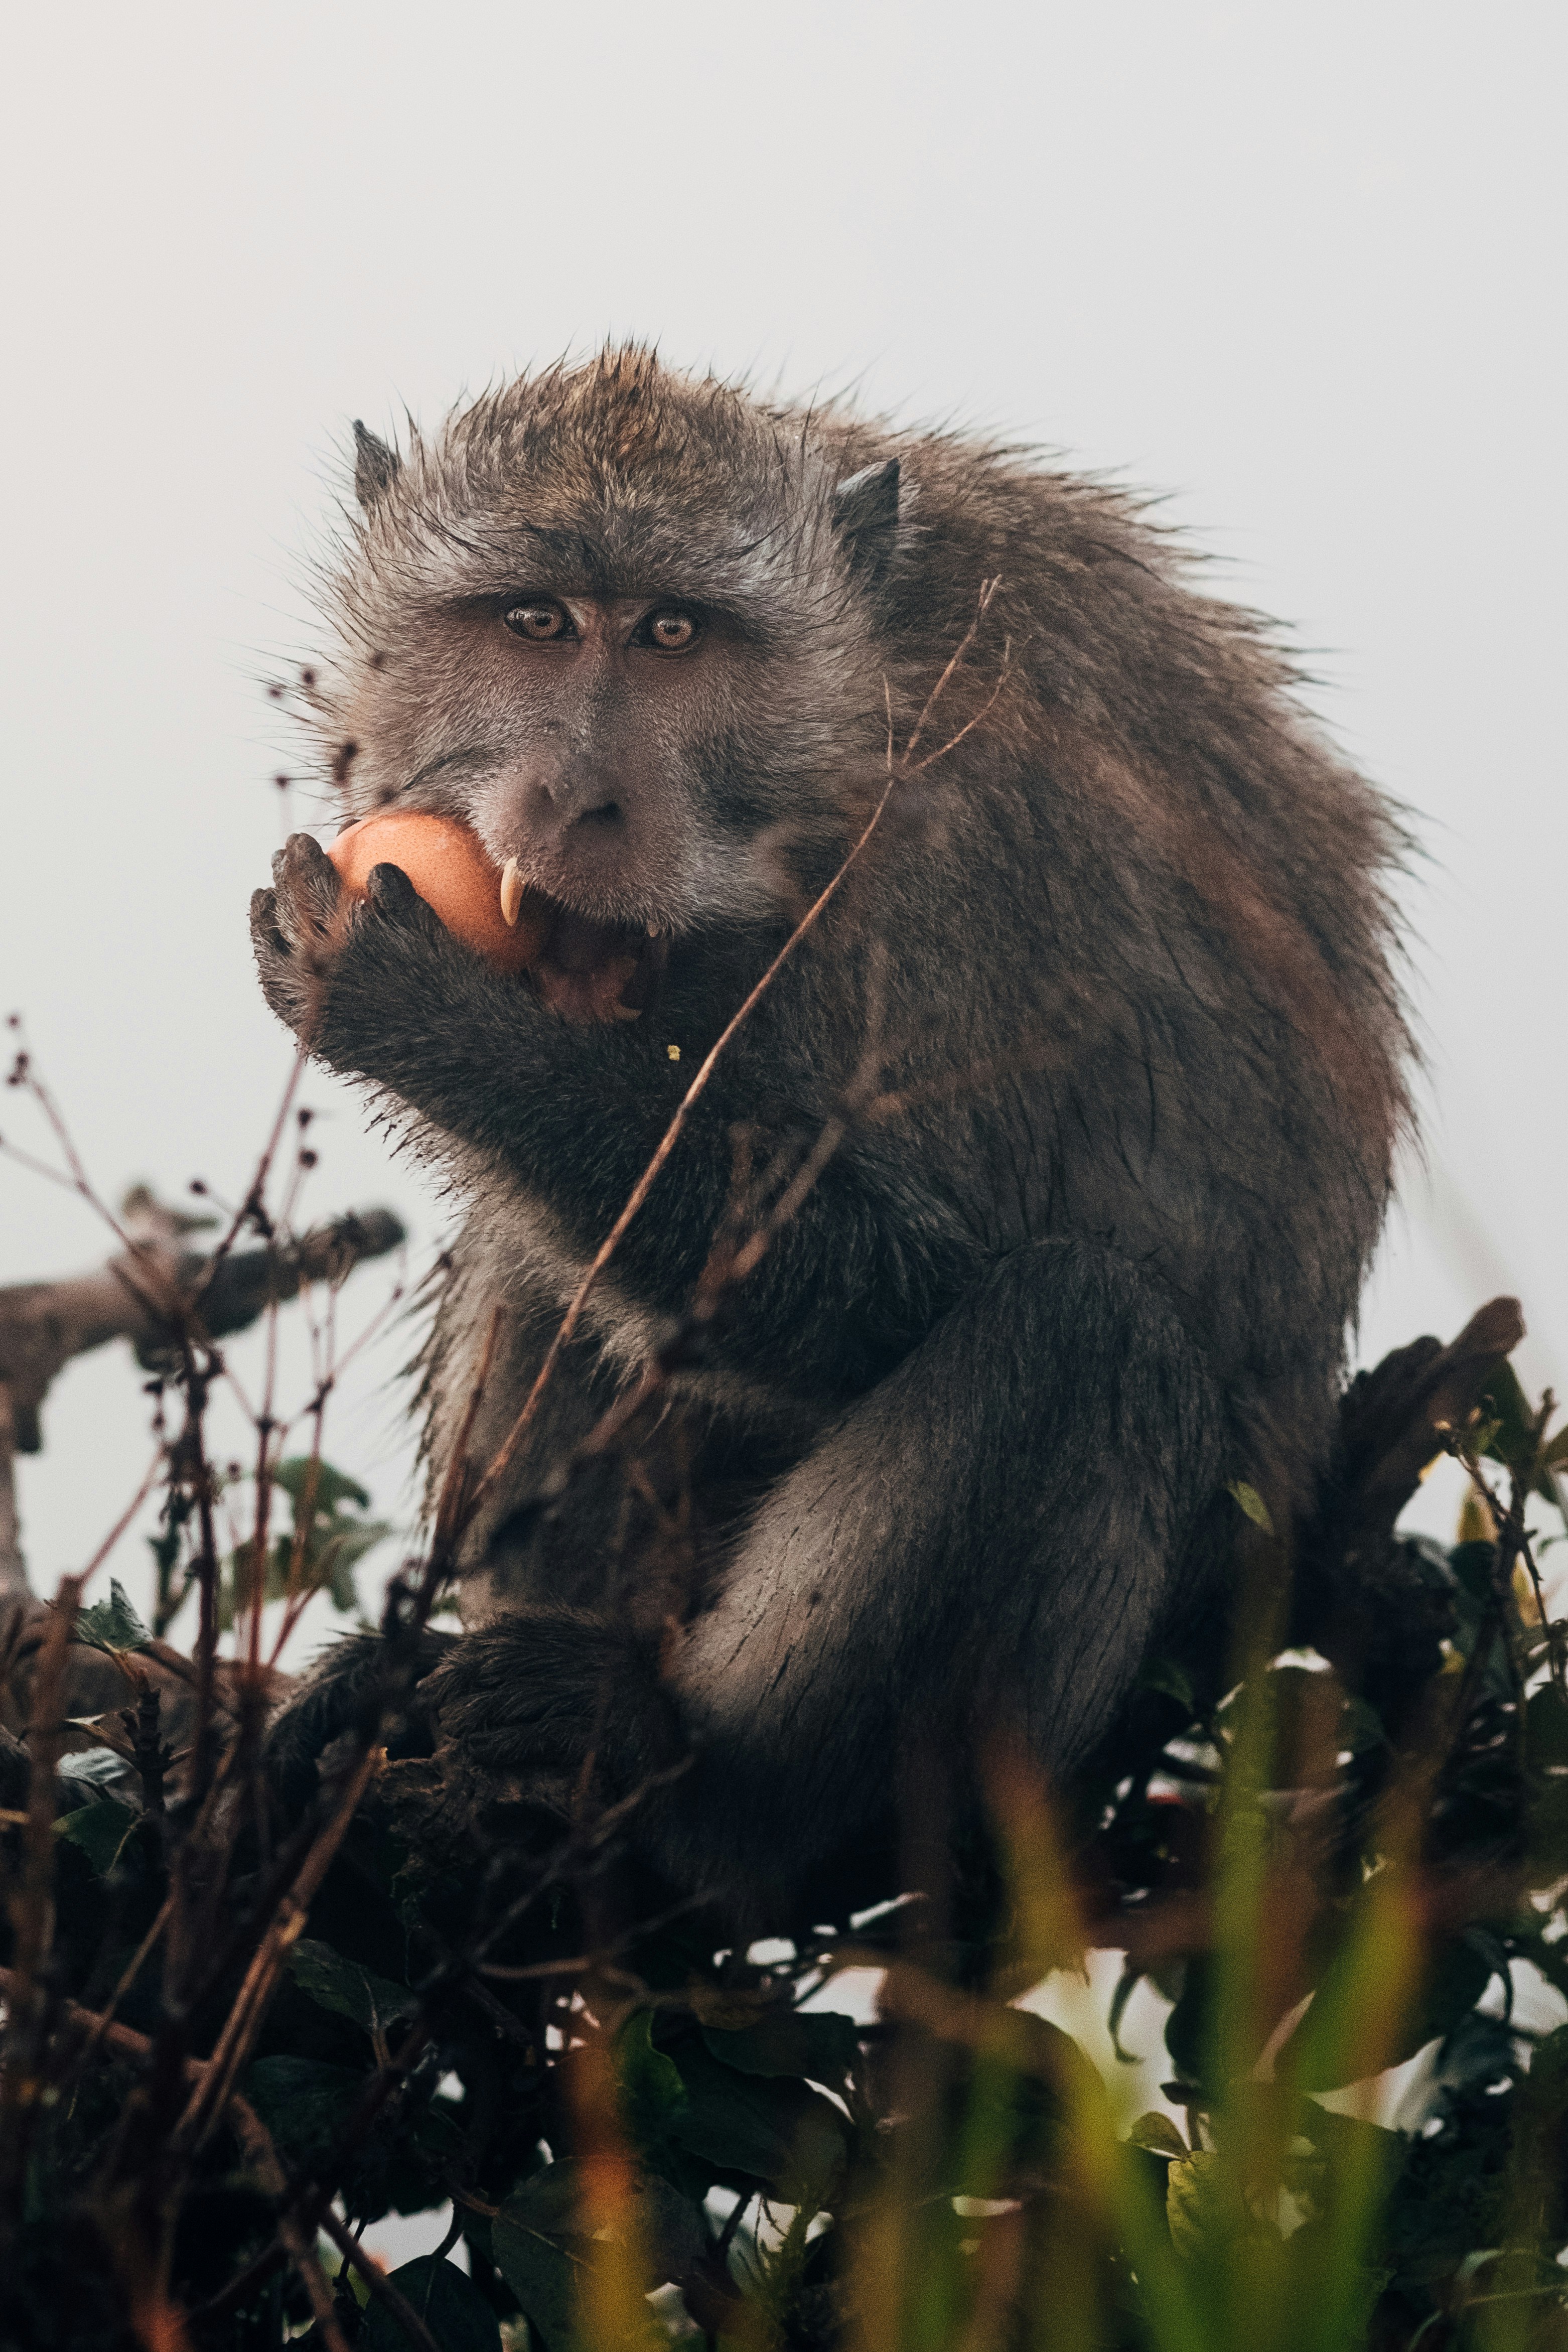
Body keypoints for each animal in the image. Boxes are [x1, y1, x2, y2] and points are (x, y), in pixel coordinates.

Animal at [253, 346, 1408, 1918]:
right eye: (535, 622)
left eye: (674, 633)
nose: (573, 800)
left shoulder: (956, 859)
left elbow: (896, 1284)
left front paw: (430, 1018)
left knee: (1084, 1321)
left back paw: (704, 1789)